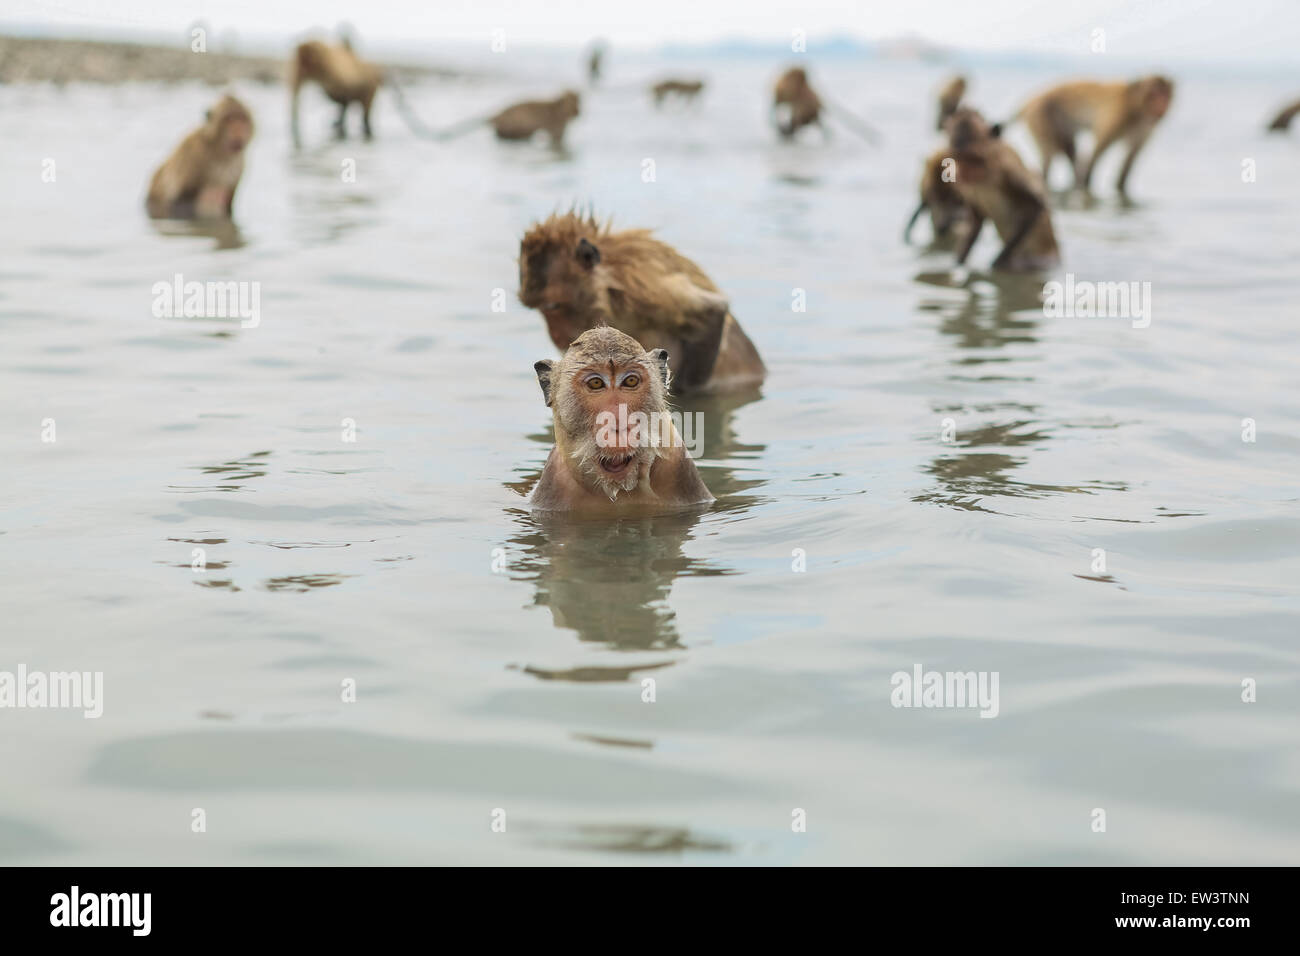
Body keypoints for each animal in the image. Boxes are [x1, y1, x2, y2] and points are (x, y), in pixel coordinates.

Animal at [943, 108, 1060, 271]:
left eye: (974, 159)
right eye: (959, 158)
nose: (966, 173)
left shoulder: (1009, 168)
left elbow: (1036, 204)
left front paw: (996, 264)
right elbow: (976, 221)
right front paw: (958, 262)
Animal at [1012, 75, 1174, 197]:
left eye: (1164, 94)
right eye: (1153, 95)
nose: (1161, 105)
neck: (1135, 107)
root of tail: (1030, 100)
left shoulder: (1145, 128)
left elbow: (1131, 158)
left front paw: (1120, 186)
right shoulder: (1118, 115)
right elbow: (1097, 150)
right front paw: (1086, 182)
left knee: (1068, 149)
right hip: (1040, 117)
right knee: (1051, 153)